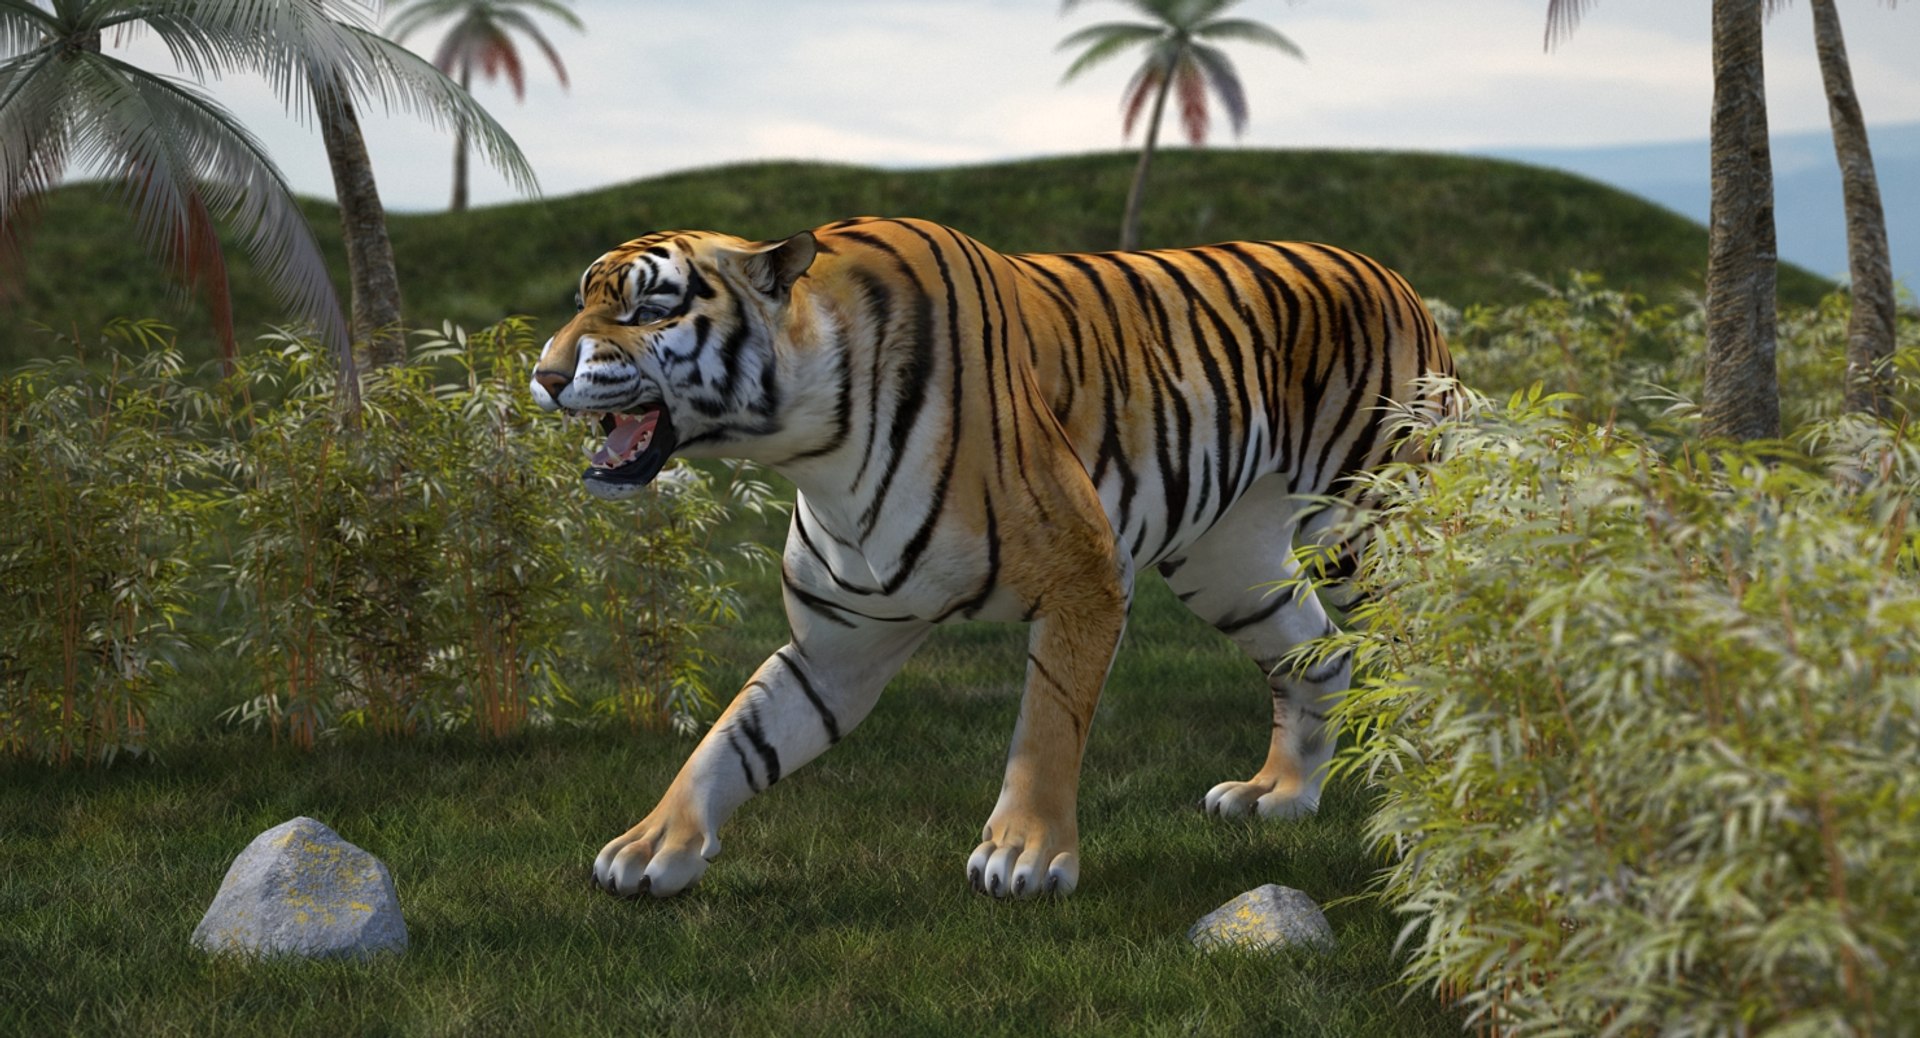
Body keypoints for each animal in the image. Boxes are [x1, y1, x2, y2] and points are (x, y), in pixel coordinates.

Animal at [529, 216, 1453, 899]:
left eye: (648, 311)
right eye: (582, 302)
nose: (542, 376)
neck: (810, 449)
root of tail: (1395, 275)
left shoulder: (1086, 577)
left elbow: (1046, 724)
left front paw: (1025, 856)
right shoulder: (836, 648)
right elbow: (736, 737)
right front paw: (654, 845)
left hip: (1371, 528)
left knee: (1440, 641)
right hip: (1229, 564)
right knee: (1318, 654)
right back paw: (1280, 798)